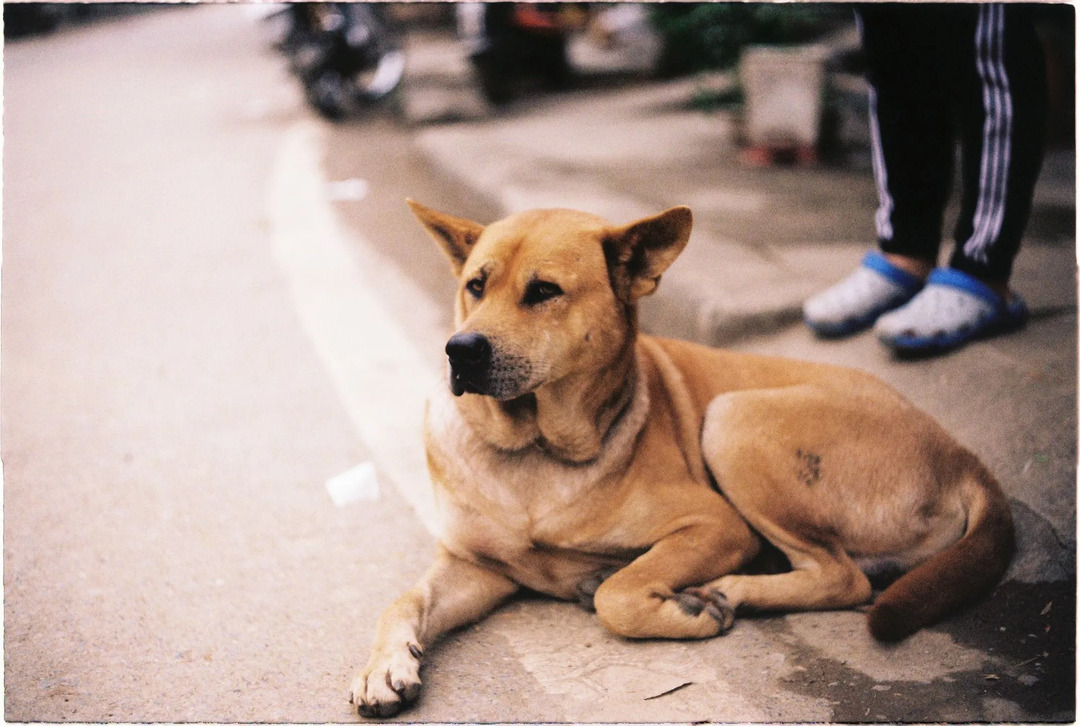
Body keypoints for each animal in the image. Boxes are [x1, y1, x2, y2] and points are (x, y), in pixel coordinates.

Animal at [349, 200, 1015, 717]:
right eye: (476, 286)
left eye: (544, 291)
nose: (459, 350)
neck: (533, 447)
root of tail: (960, 452)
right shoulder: (473, 566)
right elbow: (402, 601)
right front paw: (383, 668)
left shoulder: (715, 524)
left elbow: (618, 596)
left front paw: (679, 608)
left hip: (732, 419)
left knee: (843, 578)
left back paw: (729, 590)